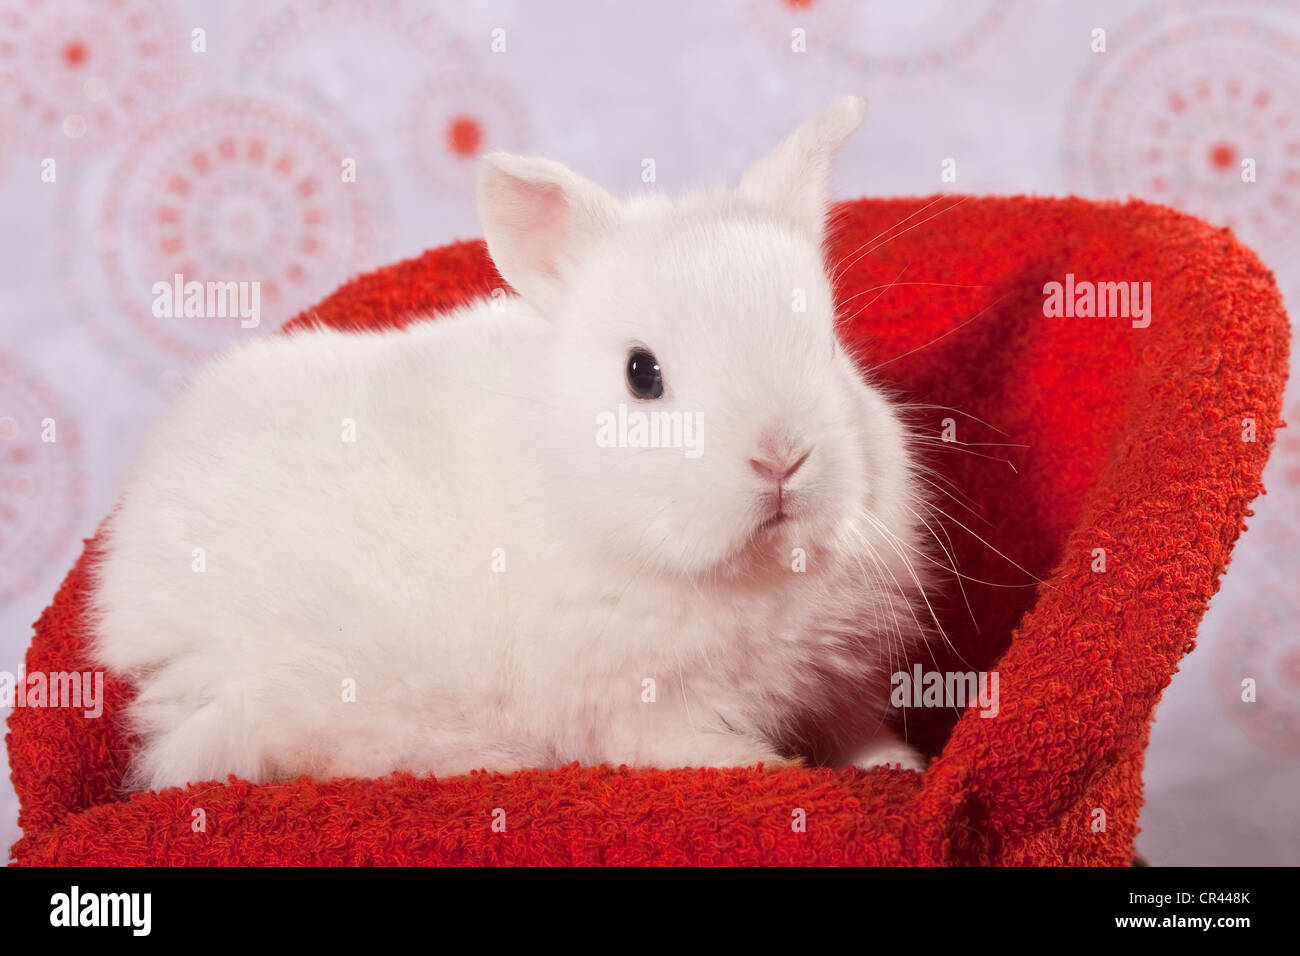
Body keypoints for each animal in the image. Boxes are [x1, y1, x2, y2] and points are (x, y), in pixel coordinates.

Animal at [89, 95, 932, 792]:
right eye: (642, 373)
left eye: (828, 346)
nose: (782, 457)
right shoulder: (635, 706)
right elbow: (678, 747)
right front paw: (766, 764)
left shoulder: (827, 681)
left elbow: (854, 728)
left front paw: (897, 764)